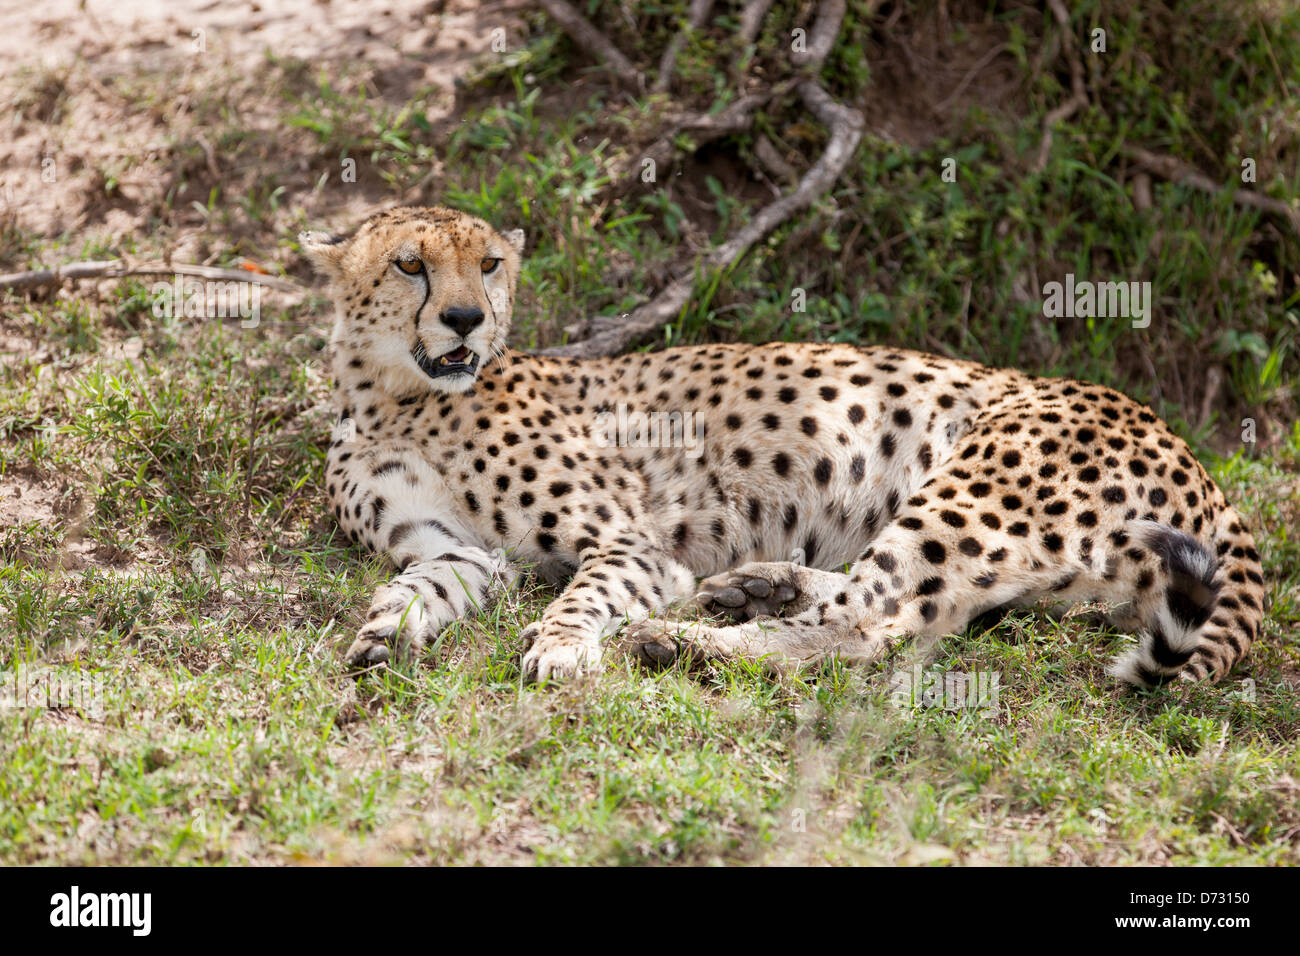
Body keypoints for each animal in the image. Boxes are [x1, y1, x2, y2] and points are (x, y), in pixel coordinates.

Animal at [301, 205, 1265, 688]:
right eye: (411, 264)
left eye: (490, 264)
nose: (466, 319)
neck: (395, 395)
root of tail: (1198, 460)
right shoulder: (462, 552)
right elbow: (427, 581)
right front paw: (387, 628)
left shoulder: (632, 541)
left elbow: (586, 591)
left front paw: (564, 644)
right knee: (908, 609)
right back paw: (757, 586)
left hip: (976, 487)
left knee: (880, 626)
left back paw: (687, 642)